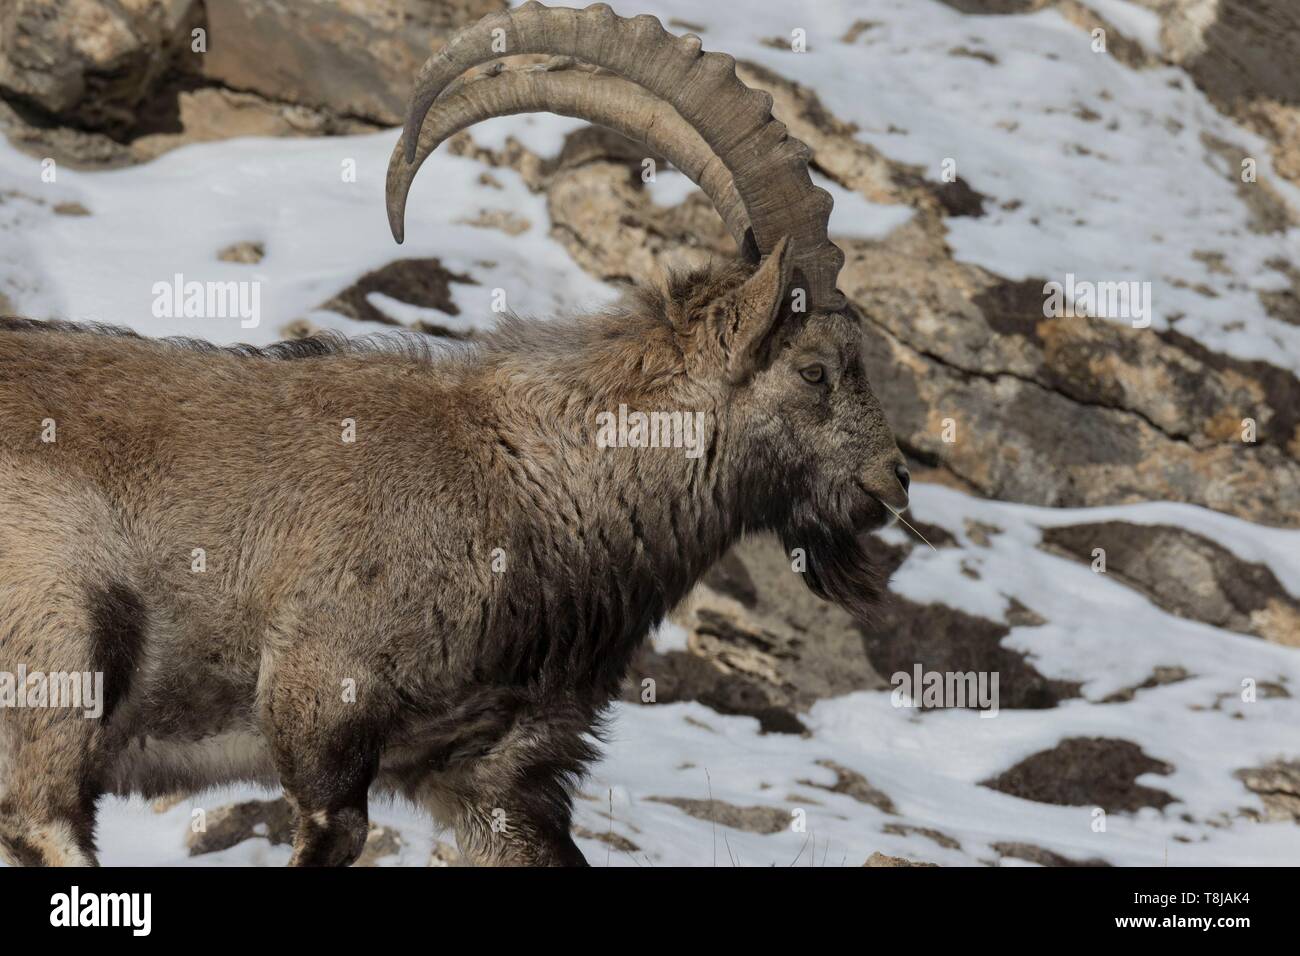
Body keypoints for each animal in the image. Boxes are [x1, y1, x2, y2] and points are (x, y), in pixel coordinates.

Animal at [0, 2, 910, 866]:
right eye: (816, 370)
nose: (893, 481)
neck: (529, 485)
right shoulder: (320, 693)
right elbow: (333, 828)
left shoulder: (495, 774)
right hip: (59, 638)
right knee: (45, 820)